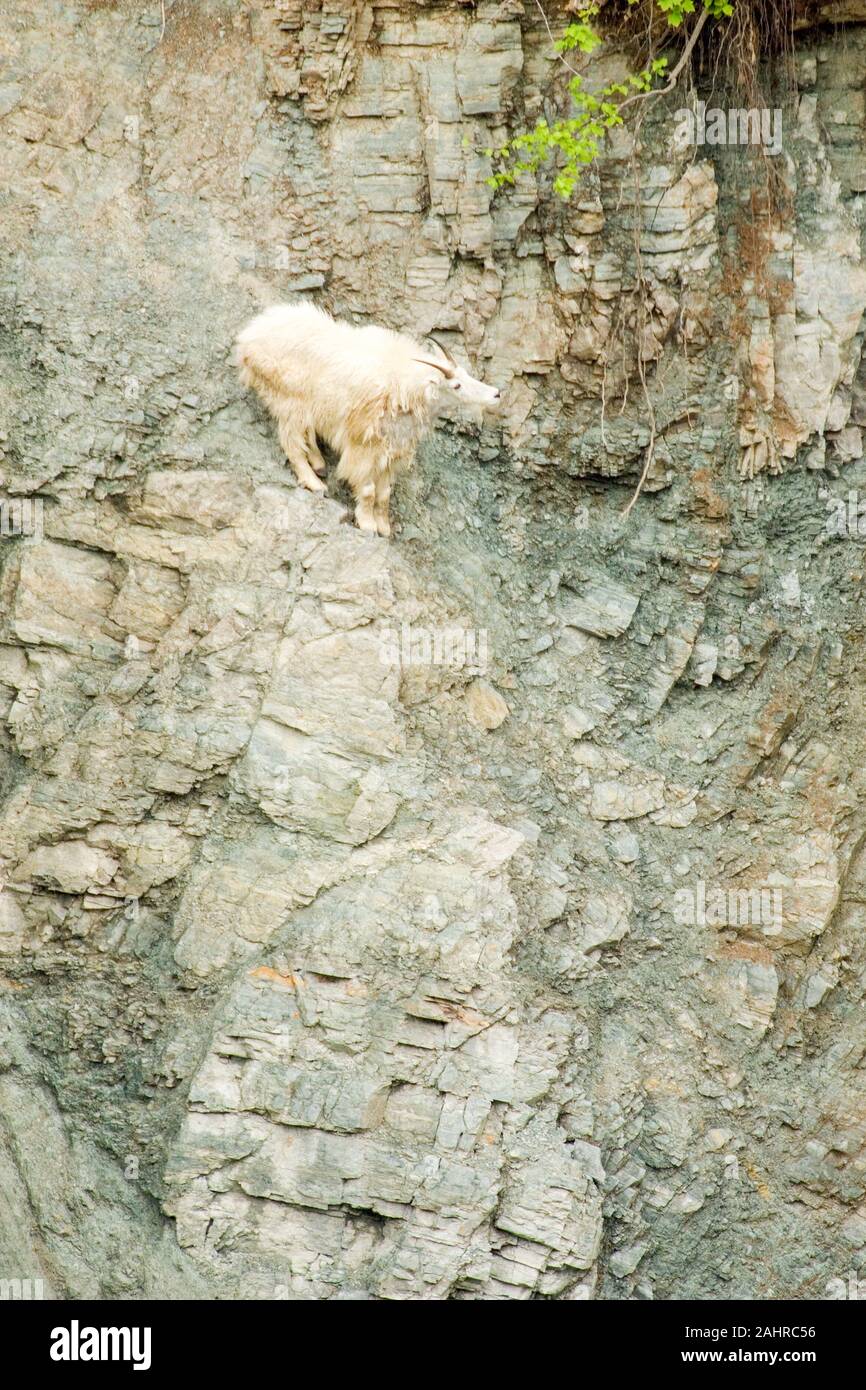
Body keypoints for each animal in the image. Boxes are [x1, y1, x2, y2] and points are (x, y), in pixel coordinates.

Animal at [235, 302, 501, 537]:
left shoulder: (391, 451)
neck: (405, 389)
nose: (496, 394)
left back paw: (319, 463)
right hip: (288, 399)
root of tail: (249, 337)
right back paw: (314, 482)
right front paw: (368, 525)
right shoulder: (363, 445)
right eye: (456, 385)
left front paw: (384, 527)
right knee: (291, 442)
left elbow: (384, 494)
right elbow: (368, 489)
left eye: (465, 375)